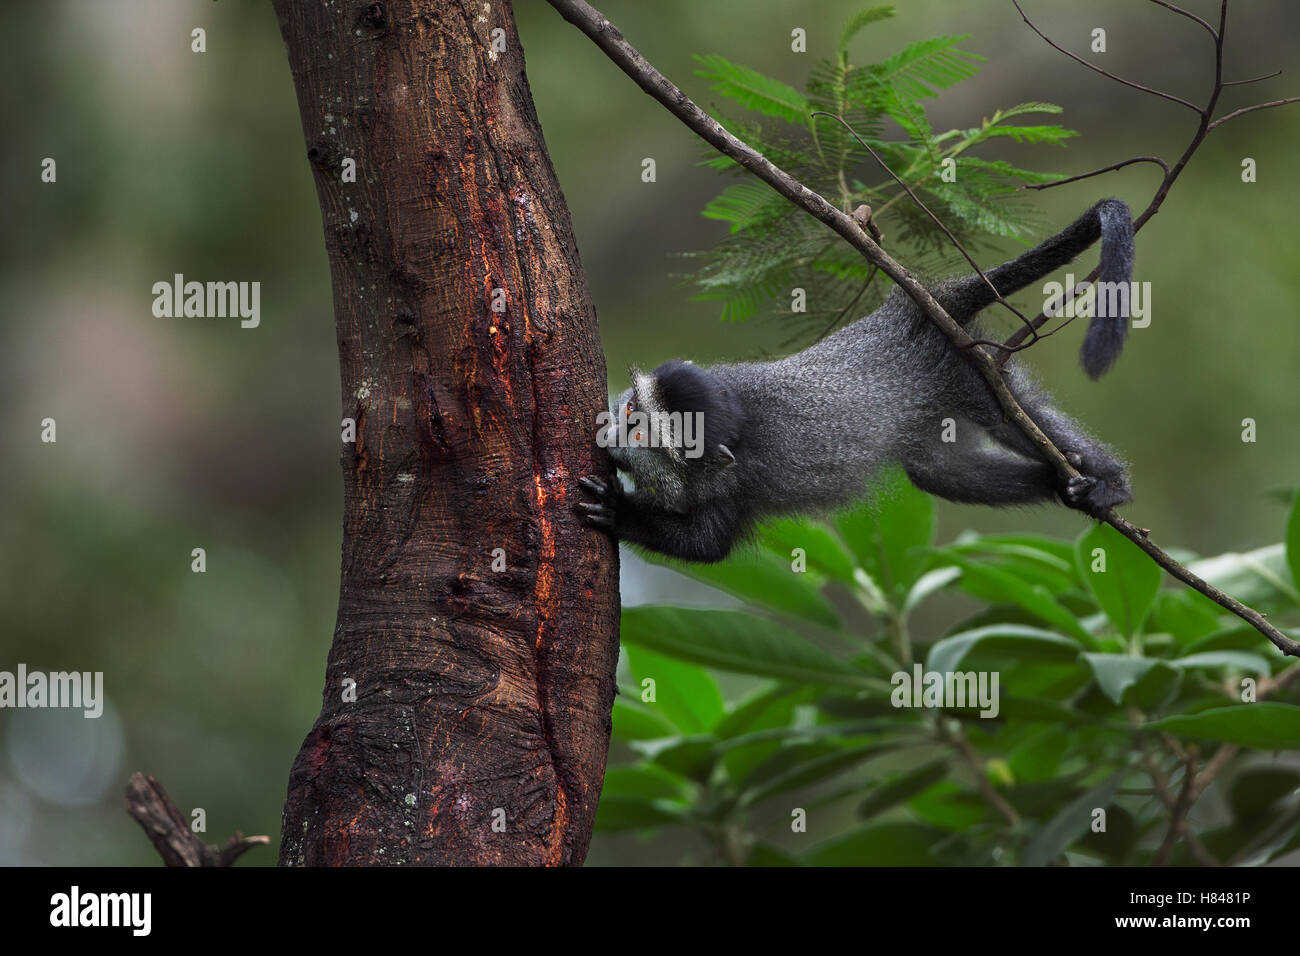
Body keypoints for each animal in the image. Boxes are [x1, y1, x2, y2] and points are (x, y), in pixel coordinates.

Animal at [579, 199, 1136, 564]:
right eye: (629, 411)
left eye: (642, 431)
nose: (611, 431)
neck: (739, 412)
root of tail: (912, 312)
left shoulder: (735, 482)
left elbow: (706, 546)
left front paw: (617, 509)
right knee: (932, 472)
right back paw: (1059, 484)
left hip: (965, 376)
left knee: (1009, 419)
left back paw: (1110, 484)